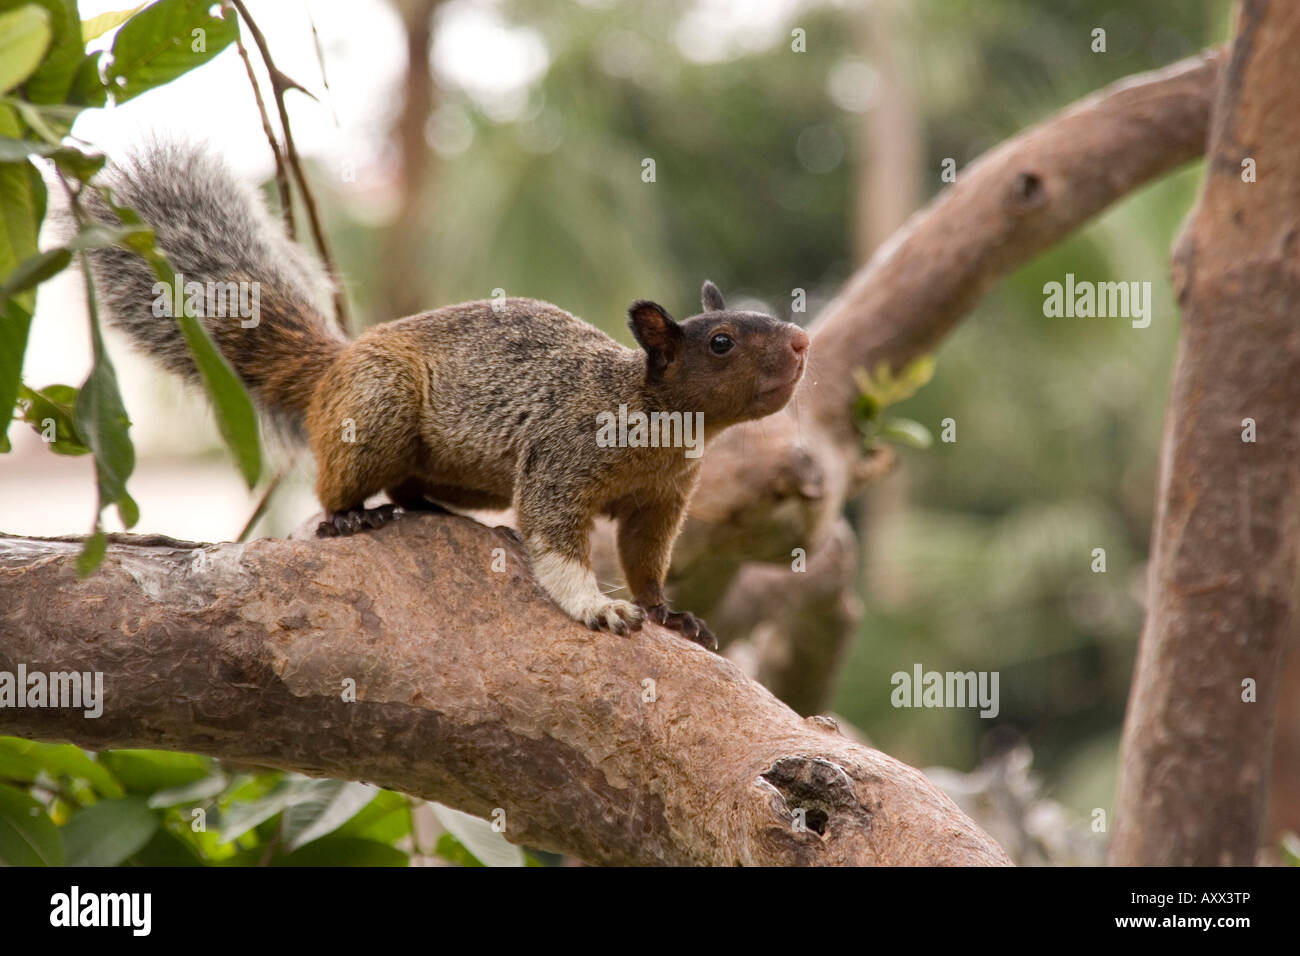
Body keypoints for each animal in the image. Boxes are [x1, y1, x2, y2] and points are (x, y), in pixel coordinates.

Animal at [80, 141, 809, 650]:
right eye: (721, 342)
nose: (802, 341)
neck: (654, 416)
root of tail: (334, 370)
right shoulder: (563, 459)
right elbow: (556, 541)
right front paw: (597, 606)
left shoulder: (661, 502)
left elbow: (646, 559)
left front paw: (668, 612)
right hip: (379, 407)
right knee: (337, 487)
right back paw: (349, 516)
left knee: (409, 488)